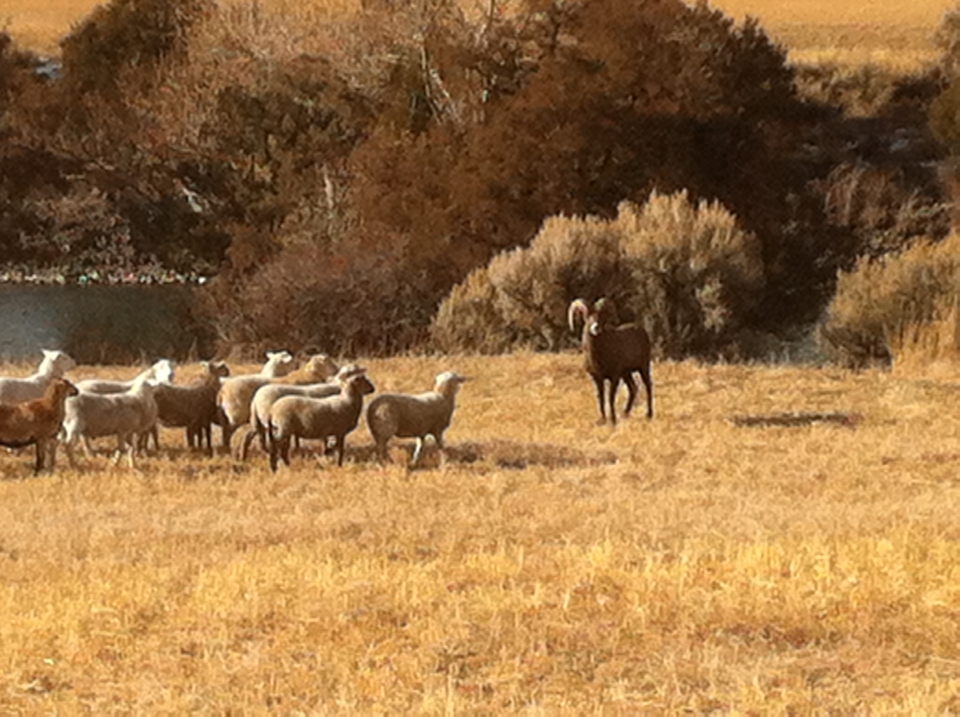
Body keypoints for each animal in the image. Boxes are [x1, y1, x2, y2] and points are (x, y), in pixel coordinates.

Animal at [568, 297, 653, 425]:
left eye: (601, 316)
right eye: (587, 316)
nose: (596, 328)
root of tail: (642, 331)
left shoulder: (614, 377)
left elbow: (610, 398)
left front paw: (613, 420)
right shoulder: (597, 378)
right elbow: (601, 398)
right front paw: (602, 420)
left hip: (643, 367)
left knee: (648, 386)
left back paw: (649, 415)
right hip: (626, 374)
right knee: (633, 388)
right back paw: (625, 414)